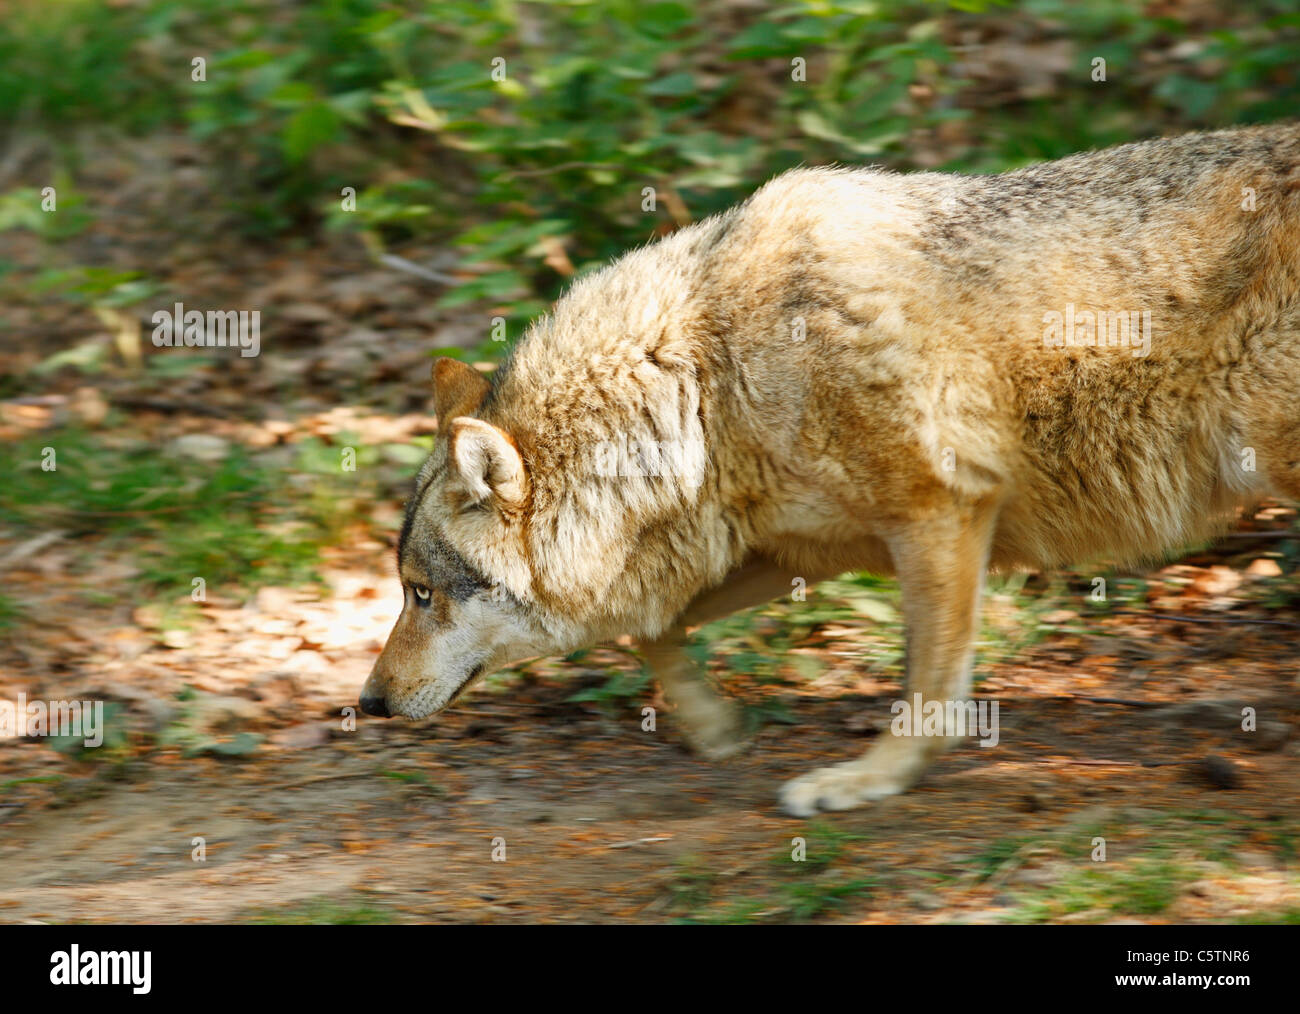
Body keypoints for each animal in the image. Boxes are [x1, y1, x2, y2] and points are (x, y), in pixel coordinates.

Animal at [360, 123, 1300, 816]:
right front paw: (713, 729)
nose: (366, 703)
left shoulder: (941, 515)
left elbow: (927, 689)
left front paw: (867, 782)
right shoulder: (788, 551)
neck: (705, 384)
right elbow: (651, 631)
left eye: (421, 594)